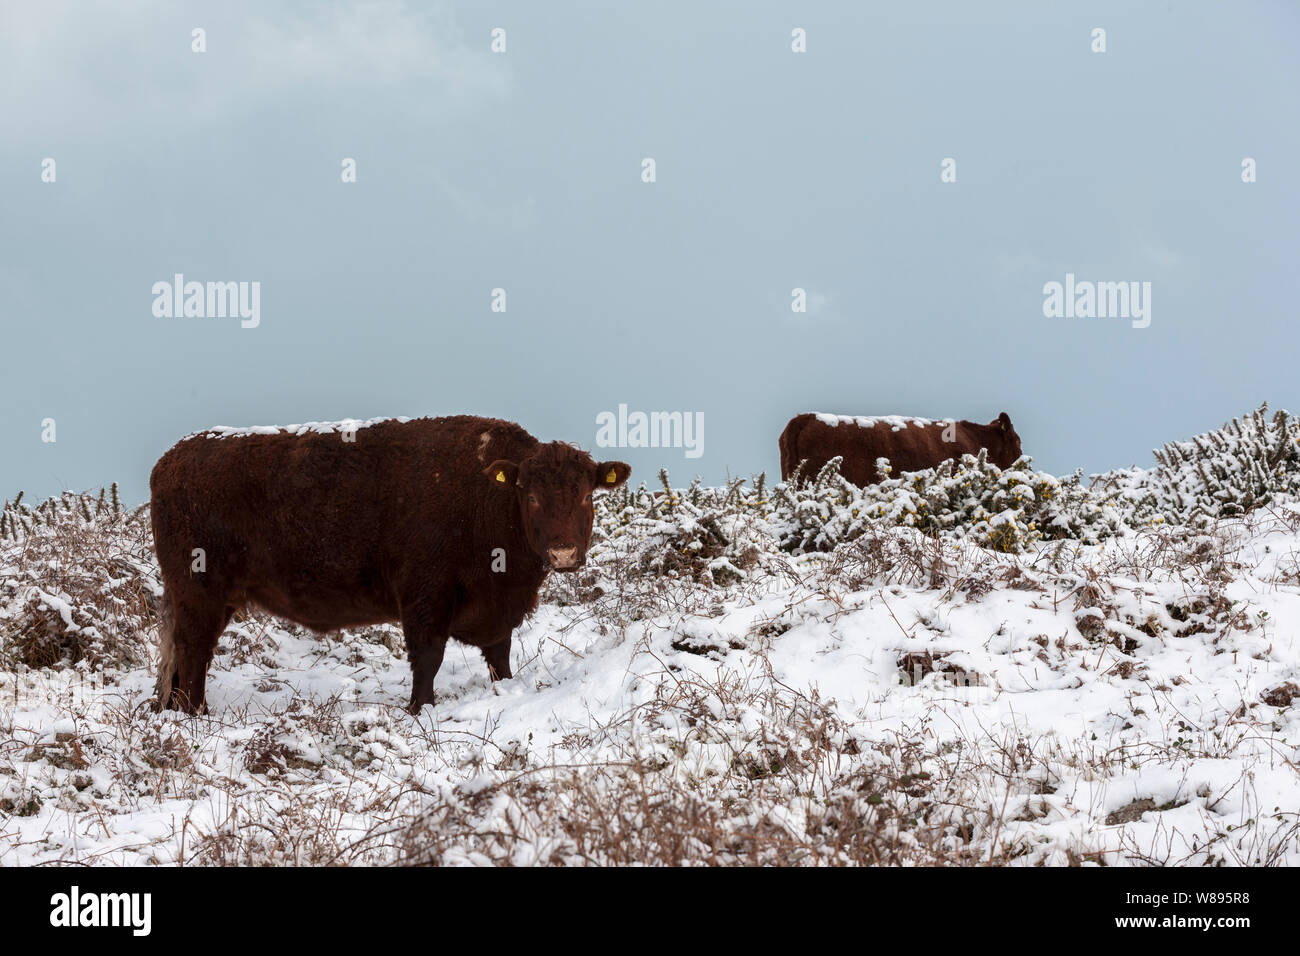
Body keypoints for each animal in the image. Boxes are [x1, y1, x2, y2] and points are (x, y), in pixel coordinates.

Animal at [148, 415, 631, 715]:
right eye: (530, 496)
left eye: (585, 495)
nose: (563, 553)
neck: (487, 497)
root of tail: (171, 461)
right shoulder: (425, 599)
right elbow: (428, 657)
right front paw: (421, 708)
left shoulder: (497, 610)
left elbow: (500, 657)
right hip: (198, 595)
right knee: (193, 652)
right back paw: (197, 714)